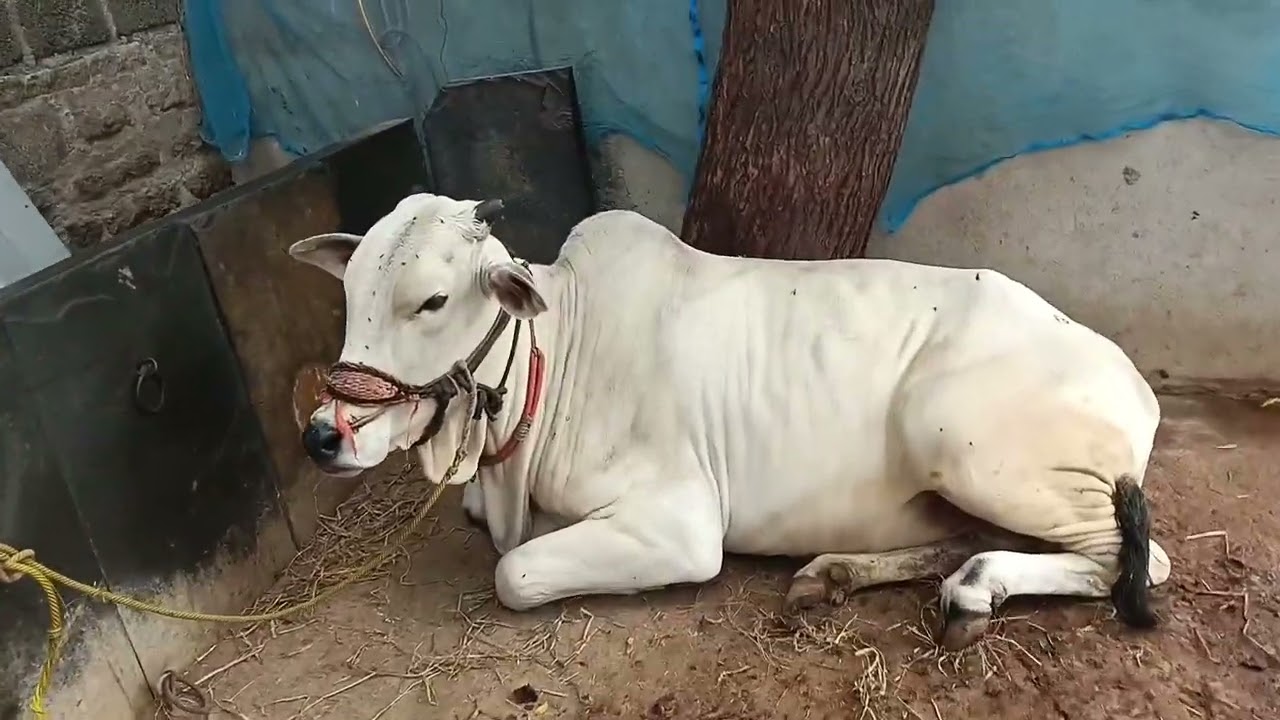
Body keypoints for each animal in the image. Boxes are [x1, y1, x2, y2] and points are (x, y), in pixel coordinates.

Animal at [288, 192, 1171, 650]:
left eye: (433, 300)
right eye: (351, 290)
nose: (325, 434)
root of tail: (1132, 376)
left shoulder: (679, 525)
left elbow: (516, 572)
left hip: (963, 443)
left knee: (1137, 564)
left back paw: (976, 592)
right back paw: (832, 576)